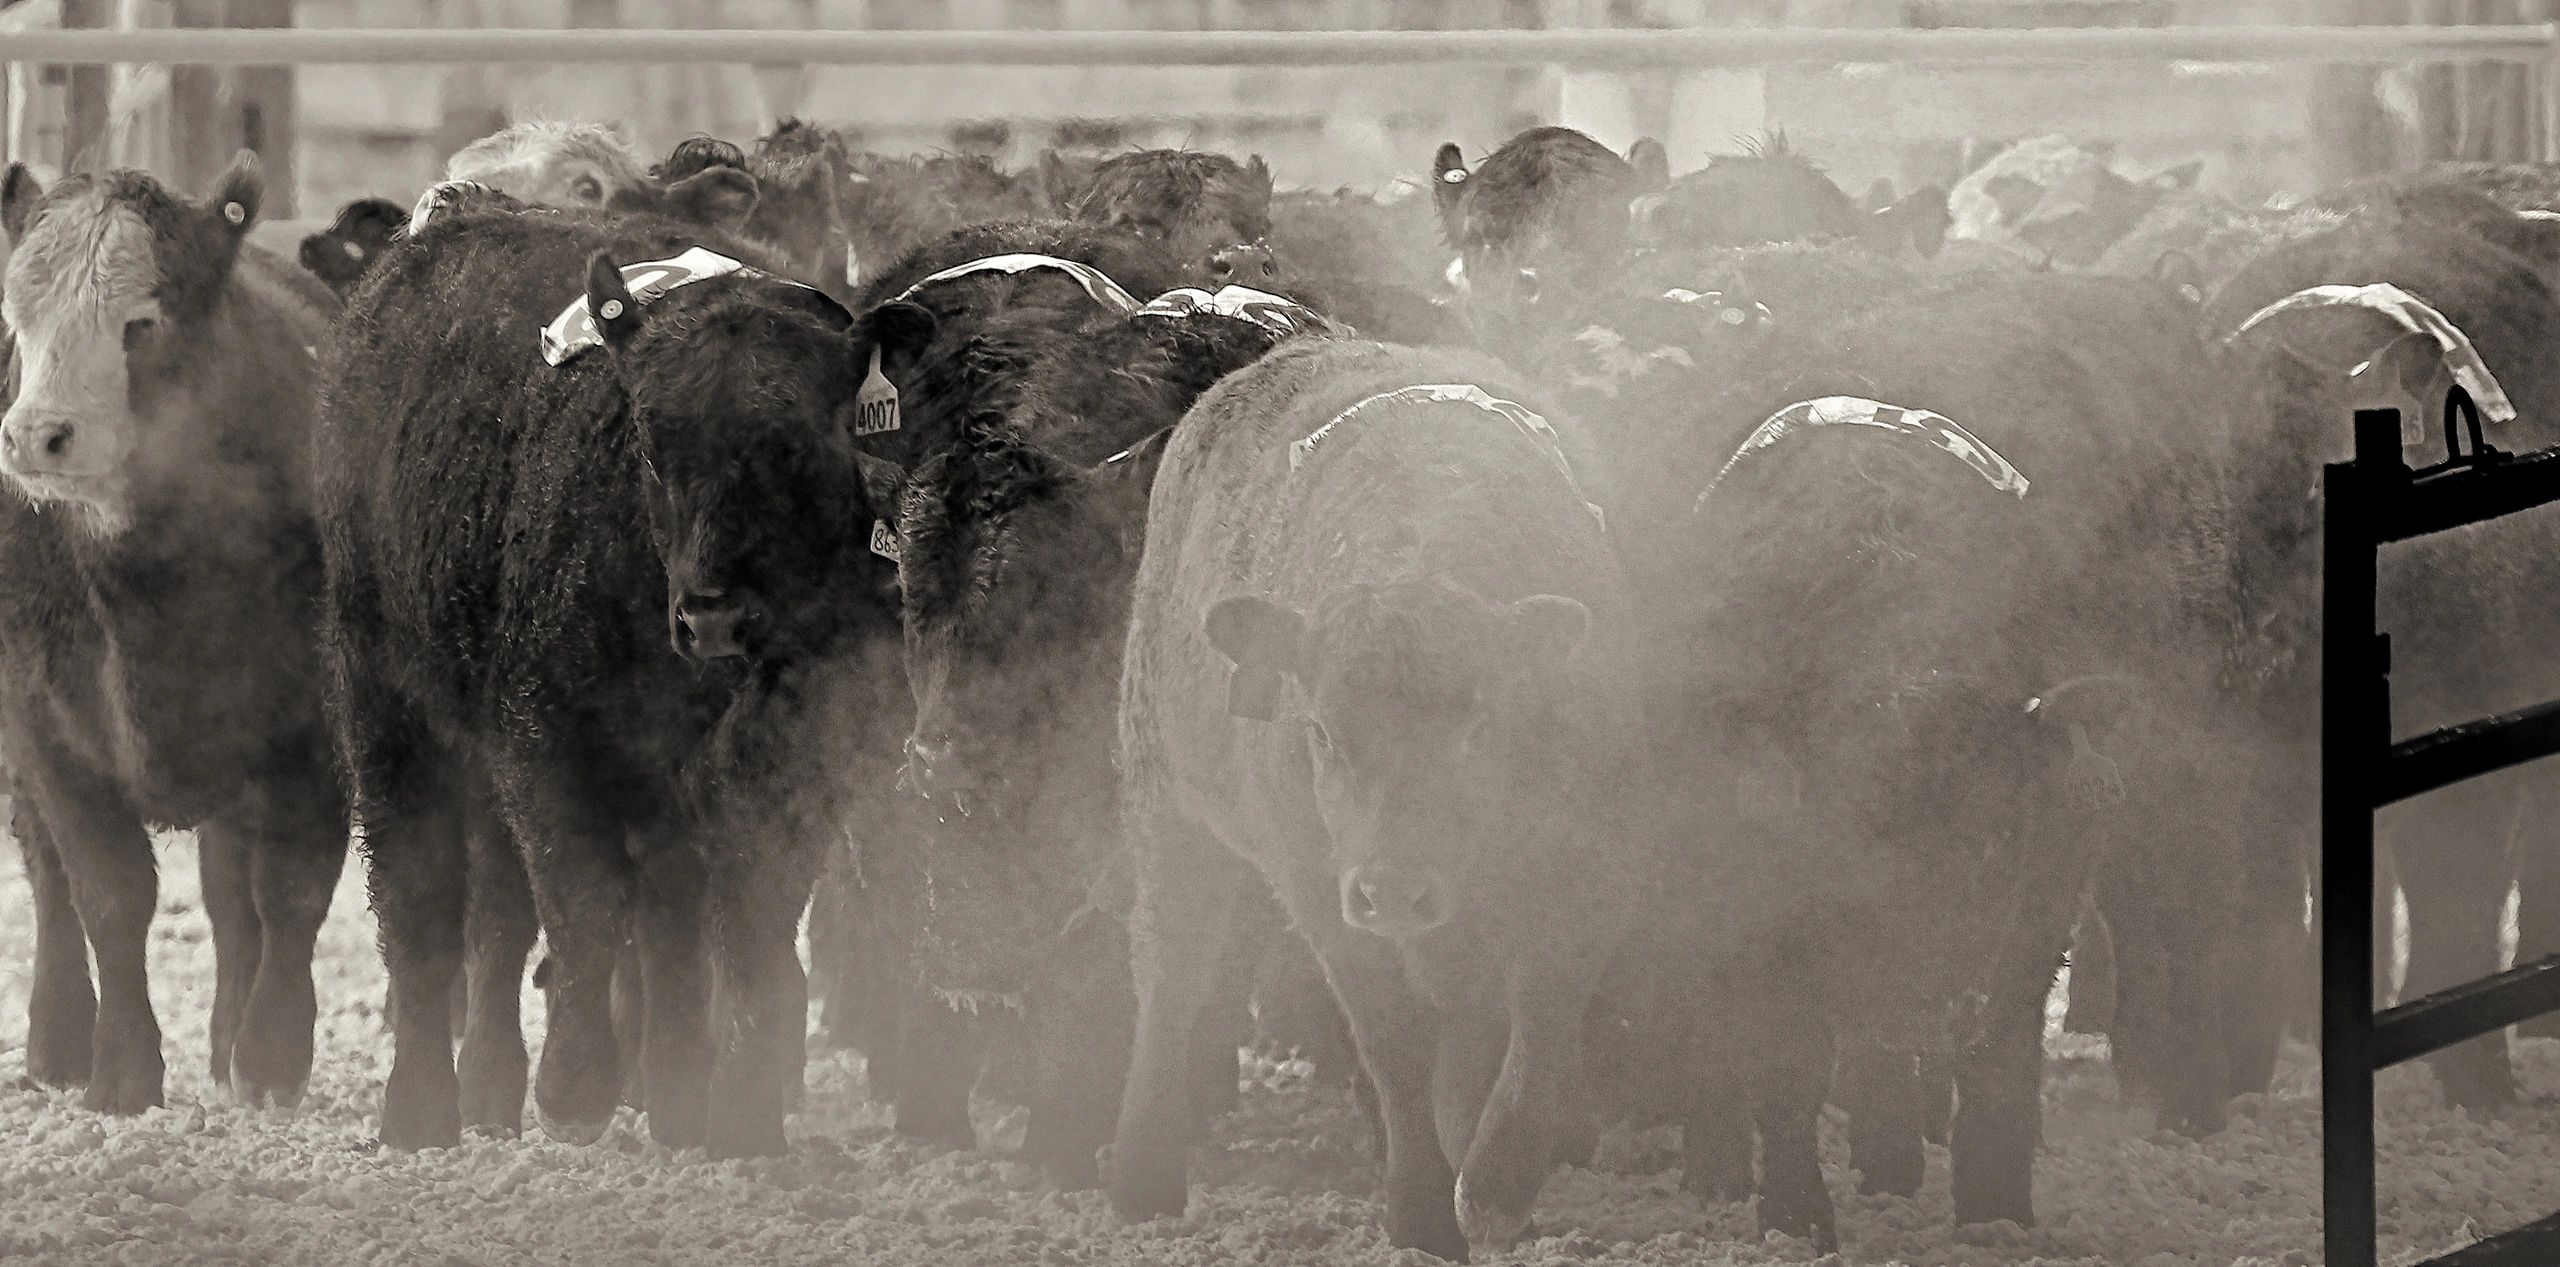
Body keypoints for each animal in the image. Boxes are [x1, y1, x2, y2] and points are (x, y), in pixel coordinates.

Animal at [0, 152, 350, 1115]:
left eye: (141, 322)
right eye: (17, 319)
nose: (35, 435)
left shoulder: (316, 725)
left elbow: (289, 891)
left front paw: (269, 1055)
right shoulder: (46, 723)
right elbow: (105, 891)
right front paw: (121, 1072)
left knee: (234, 896)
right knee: (48, 879)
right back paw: (56, 1041)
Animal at [314, 171, 907, 1156]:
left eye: (798, 445)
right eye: (654, 446)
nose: (714, 614)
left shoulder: (793, 754)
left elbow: (738, 931)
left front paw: (731, 1110)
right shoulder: (544, 741)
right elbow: (585, 905)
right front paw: (578, 1085)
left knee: (569, 923)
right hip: (387, 709)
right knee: (422, 908)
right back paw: (423, 1110)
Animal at [1108, 339, 1645, 1260]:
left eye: (1477, 723)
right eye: (1321, 730)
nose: (1394, 888)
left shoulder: (1592, 859)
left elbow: (1541, 1005)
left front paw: (1497, 1183)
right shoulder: (1322, 889)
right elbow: (1394, 1038)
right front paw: (1422, 1208)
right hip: (1169, 805)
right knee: (1171, 971)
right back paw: (1143, 1168)